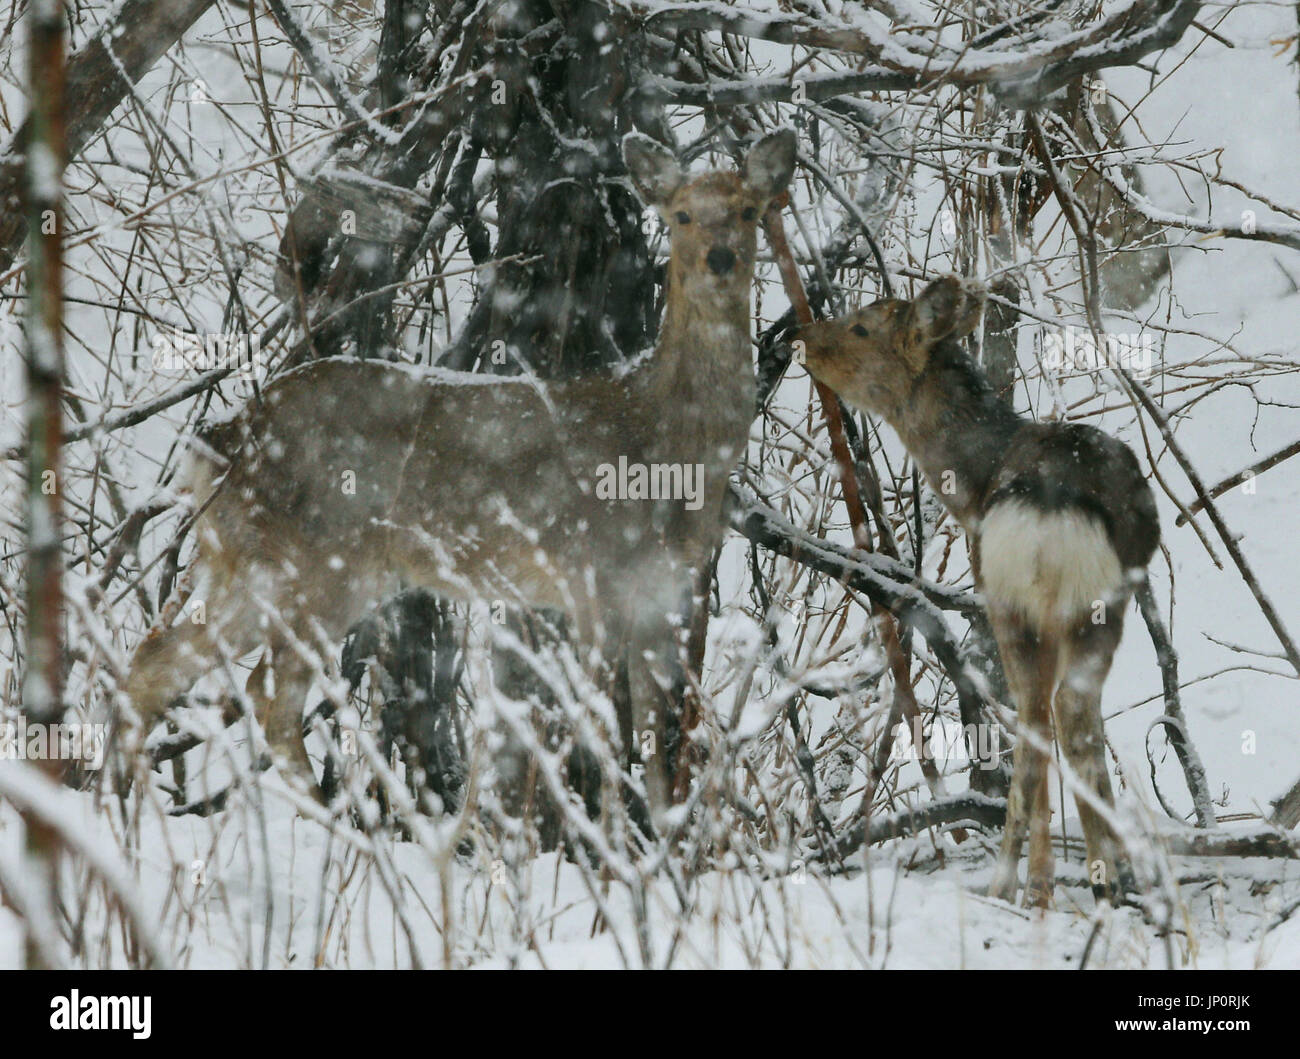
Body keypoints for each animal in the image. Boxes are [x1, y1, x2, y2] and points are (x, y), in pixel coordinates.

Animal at [124, 128, 798, 824]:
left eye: (749, 210)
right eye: (682, 215)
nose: (720, 258)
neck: (668, 447)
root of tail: (222, 439)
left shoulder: (665, 594)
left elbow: (659, 742)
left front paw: (659, 838)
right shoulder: (590, 577)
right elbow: (605, 731)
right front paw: (611, 839)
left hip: (251, 561)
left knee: (156, 662)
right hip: (320, 562)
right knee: (266, 694)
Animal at [793, 276, 1159, 907]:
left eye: (862, 326)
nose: (804, 337)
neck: (974, 482)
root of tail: (1048, 510)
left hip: (1018, 604)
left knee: (1039, 721)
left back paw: (1025, 882)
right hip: (1087, 607)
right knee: (1066, 715)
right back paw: (1081, 878)